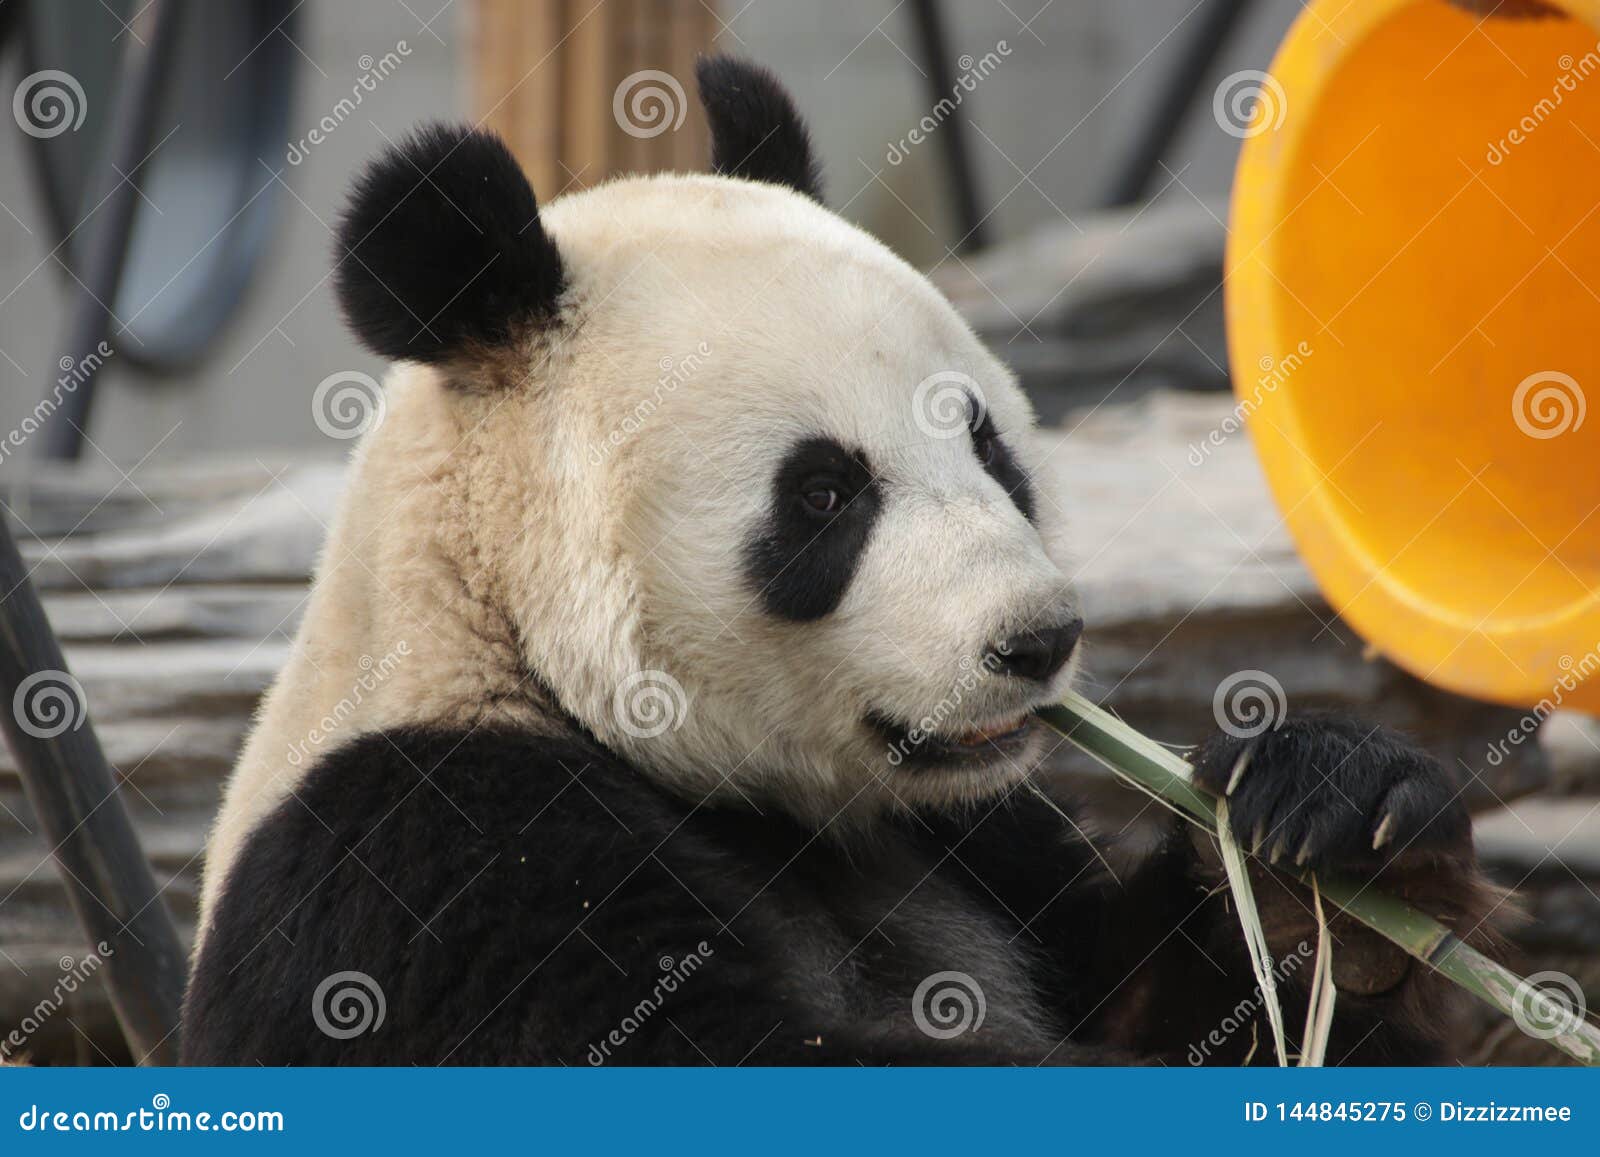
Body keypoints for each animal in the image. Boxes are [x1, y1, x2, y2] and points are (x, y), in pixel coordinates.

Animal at [182, 57, 1497, 1066]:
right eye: (823, 493)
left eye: (984, 439)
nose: (1037, 640)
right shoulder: (421, 852)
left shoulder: (968, 829)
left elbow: (1167, 999)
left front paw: (1327, 835)